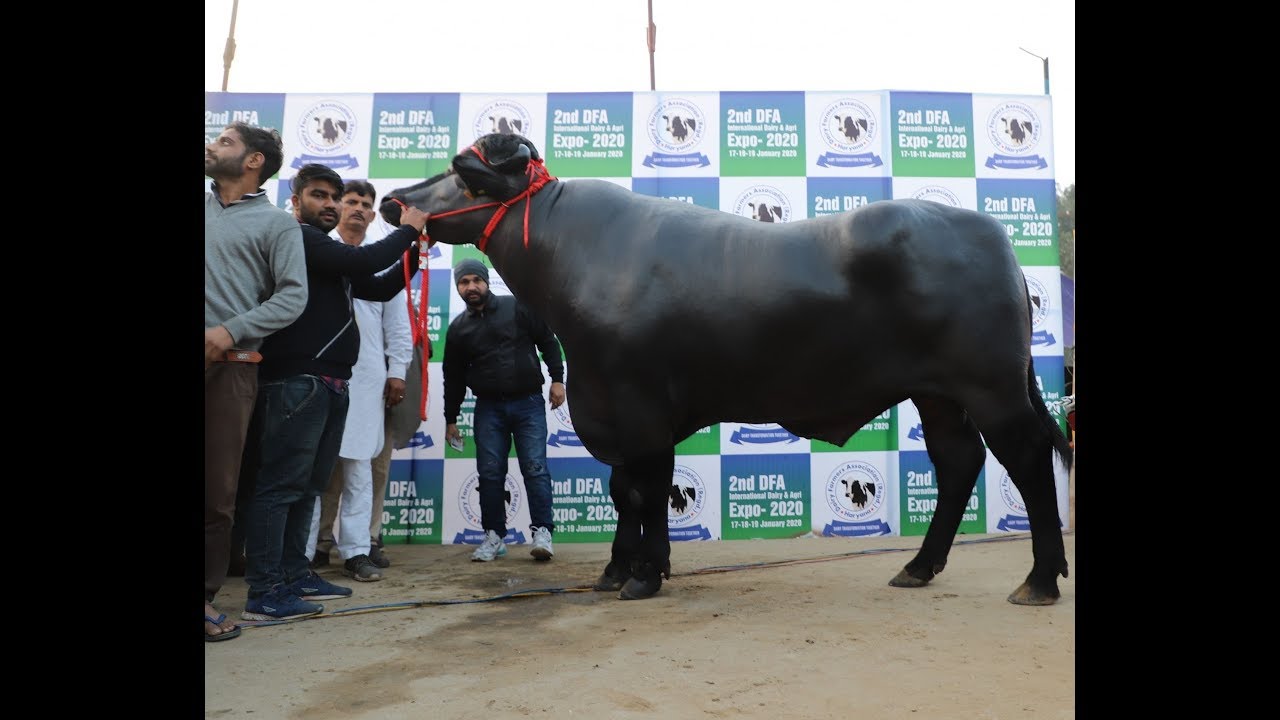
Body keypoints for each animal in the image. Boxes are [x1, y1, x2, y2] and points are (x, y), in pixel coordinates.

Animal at [381, 132, 1072, 606]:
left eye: (461, 174)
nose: (394, 200)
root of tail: (996, 238)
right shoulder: (612, 406)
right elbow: (622, 490)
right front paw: (616, 569)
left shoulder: (638, 405)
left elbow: (645, 488)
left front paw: (644, 574)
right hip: (938, 394)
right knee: (959, 461)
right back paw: (919, 567)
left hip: (993, 387)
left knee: (1027, 457)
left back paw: (1039, 579)